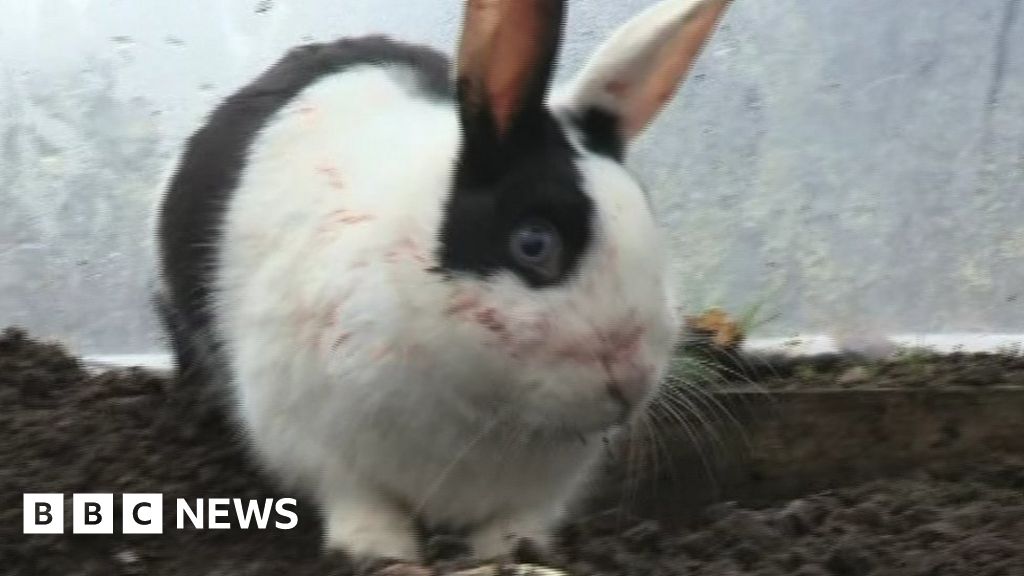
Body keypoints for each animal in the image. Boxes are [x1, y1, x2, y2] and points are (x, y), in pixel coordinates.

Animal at [154, 0, 733, 564]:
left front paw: (514, 550)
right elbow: (355, 497)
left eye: (649, 217)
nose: (632, 378)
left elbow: (517, 522)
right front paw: (377, 551)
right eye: (534, 243)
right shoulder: (306, 434)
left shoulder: (543, 488)